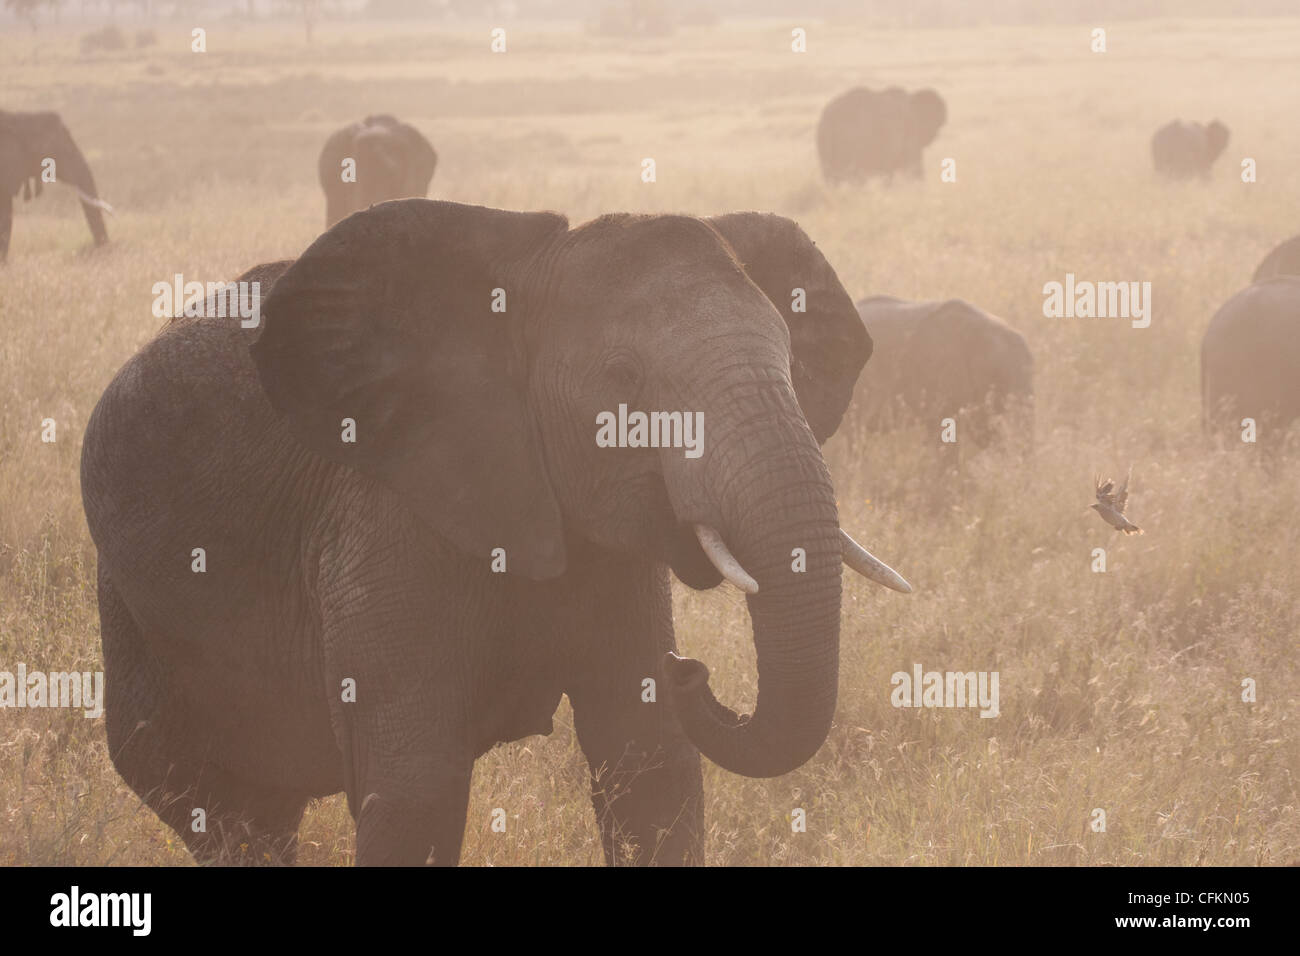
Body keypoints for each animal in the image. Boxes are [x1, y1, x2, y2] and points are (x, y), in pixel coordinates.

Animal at [80, 199, 912, 867]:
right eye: (624, 377)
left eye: (792, 362)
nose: (689, 669)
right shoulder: (386, 518)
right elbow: (416, 795)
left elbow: (651, 765)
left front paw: (656, 700)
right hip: (131, 609)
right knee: (203, 797)